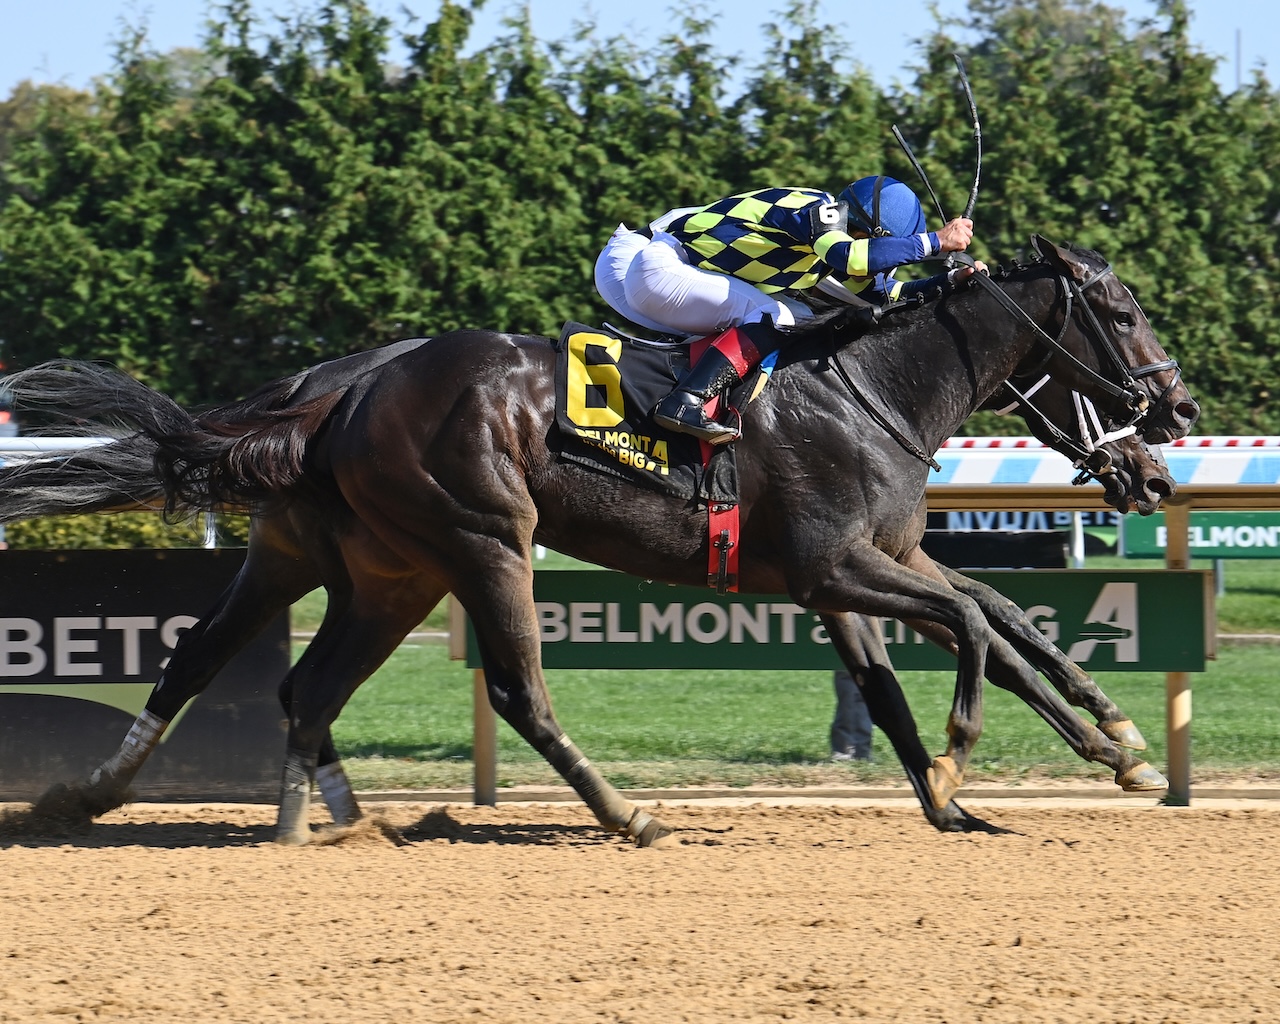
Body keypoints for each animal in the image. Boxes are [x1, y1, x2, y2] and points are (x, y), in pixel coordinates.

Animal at [0, 236, 1198, 841]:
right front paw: (960, 765)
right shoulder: (835, 565)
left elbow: (989, 621)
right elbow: (970, 625)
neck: (873, 389)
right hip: (483, 538)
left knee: (249, 670)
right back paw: (624, 813)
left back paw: (223, 811)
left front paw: (1108, 744)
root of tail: (338, 393)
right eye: (1122, 312)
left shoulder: (874, 562)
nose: (1171, 429)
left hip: (362, 566)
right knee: (513, 690)